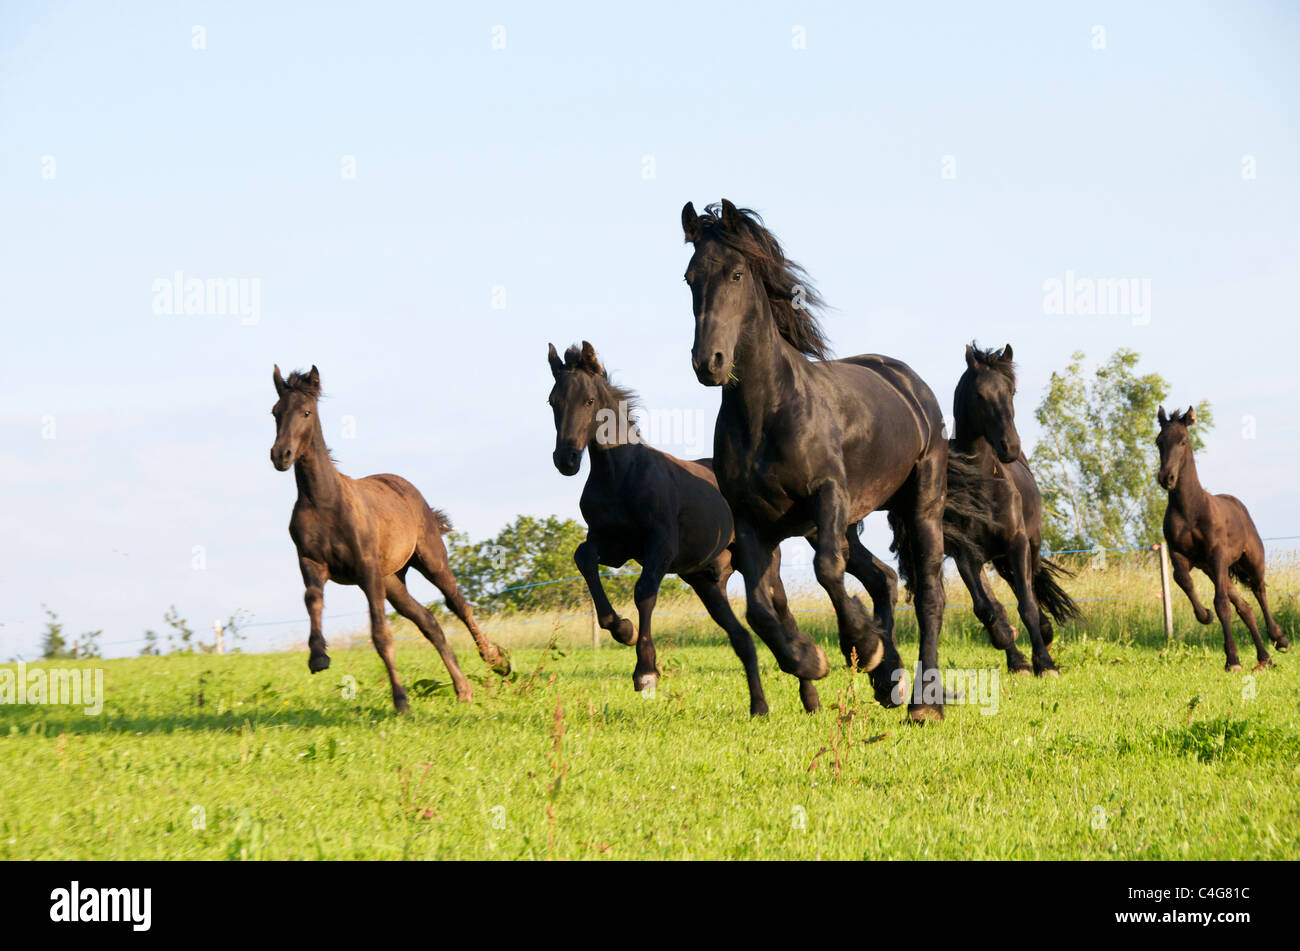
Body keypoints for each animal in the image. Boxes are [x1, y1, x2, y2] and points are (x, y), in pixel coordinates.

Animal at [270, 365, 511, 712]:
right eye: (275, 412)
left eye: (305, 412)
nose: (281, 455)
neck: (324, 502)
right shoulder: (311, 563)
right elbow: (312, 600)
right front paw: (318, 656)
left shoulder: (366, 569)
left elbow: (381, 635)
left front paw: (401, 702)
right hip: (393, 580)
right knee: (429, 622)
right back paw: (463, 688)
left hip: (430, 560)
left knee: (458, 605)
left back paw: (496, 661)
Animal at [547, 341, 782, 715]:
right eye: (552, 401)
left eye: (588, 400)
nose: (565, 460)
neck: (621, 474)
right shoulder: (612, 545)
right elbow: (584, 558)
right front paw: (622, 629)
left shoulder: (660, 546)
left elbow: (644, 592)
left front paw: (645, 672)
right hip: (706, 581)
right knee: (742, 638)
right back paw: (759, 706)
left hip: (760, 566)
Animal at [682, 199, 955, 721]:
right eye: (689, 278)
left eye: (736, 274)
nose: (709, 363)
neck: (766, 414)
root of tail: (909, 382)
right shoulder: (753, 521)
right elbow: (759, 606)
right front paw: (811, 659)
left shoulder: (826, 494)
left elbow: (827, 571)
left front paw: (862, 647)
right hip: (845, 522)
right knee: (883, 577)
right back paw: (888, 679)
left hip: (919, 505)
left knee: (929, 593)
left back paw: (922, 702)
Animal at [943, 343, 1078, 675]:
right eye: (979, 395)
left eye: (1012, 391)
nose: (1010, 447)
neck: (982, 483)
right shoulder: (965, 555)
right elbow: (987, 609)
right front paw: (1017, 659)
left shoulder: (1017, 543)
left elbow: (1027, 604)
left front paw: (1045, 663)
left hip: (1030, 547)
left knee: (1030, 585)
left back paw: (1045, 634)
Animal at [1156, 405, 1289, 671]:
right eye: (1158, 442)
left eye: (1183, 441)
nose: (1166, 478)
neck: (1190, 510)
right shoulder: (1180, 554)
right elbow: (1183, 580)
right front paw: (1204, 615)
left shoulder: (1216, 554)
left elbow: (1221, 604)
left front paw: (1233, 661)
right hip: (1215, 570)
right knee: (1245, 608)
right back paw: (1264, 658)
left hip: (1251, 560)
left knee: (1259, 590)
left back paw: (1279, 639)